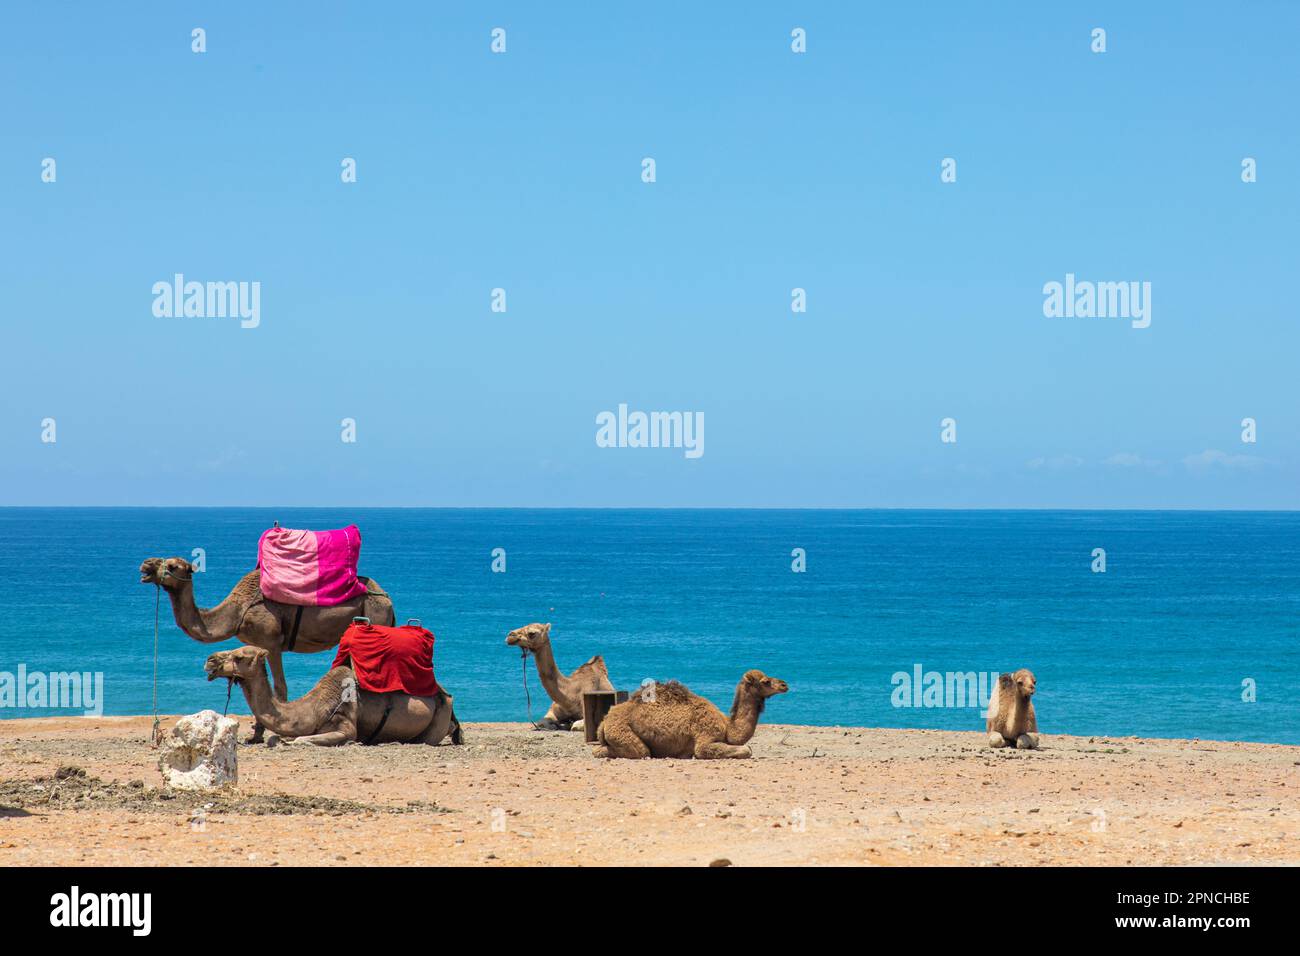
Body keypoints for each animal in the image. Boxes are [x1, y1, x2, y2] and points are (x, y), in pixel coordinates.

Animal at [141, 556, 394, 742]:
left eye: (172, 566)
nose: (146, 565)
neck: (237, 611)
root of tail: (387, 599)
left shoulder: (270, 641)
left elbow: (279, 686)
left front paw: (262, 734)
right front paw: (257, 734)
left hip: (374, 615)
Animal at [203, 646, 462, 746]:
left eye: (240, 657)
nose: (210, 660)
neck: (314, 707)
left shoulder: (345, 725)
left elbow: (302, 739)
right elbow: (275, 737)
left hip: (439, 715)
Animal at [594, 670, 788, 759]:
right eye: (766, 681)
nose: (784, 684)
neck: (728, 727)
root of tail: (604, 721)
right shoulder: (705, 738)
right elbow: (747, 749)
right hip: (622, 732)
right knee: (636, 751)